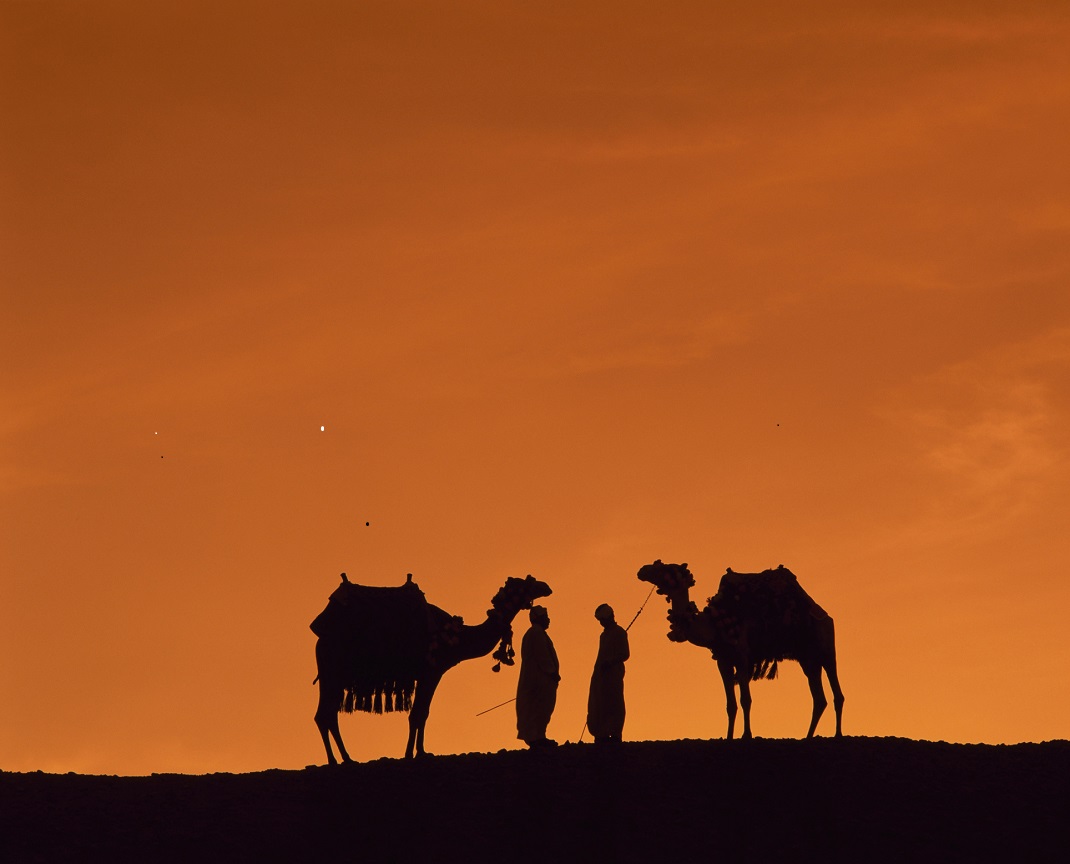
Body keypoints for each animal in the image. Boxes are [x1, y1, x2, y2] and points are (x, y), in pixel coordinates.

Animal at [311, 571, 552, 763]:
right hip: (333, 669)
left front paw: (420, 752)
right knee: (324, 714)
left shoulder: (429, 673)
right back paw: (338, 760)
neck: (457, 637)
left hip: (332, 674)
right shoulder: (432, 671)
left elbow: (422, 713)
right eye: (526, 583)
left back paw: (343, 758)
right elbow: (418, 713)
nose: (546, 586)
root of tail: (320, 637)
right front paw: (412, 754)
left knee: (326, 713)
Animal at [637, 560, 844, 740]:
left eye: (666, 568)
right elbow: (731, 704)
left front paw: (747, 735)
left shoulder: (743, 658)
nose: (642, 570)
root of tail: (824, 614)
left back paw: (838, 734)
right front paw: (729, 736)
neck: (715, 624)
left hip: (826, 648)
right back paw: (808, 736)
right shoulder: (723, 661)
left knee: (836, 690)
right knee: (819, 698)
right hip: (808, 658)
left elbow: (746, 700)